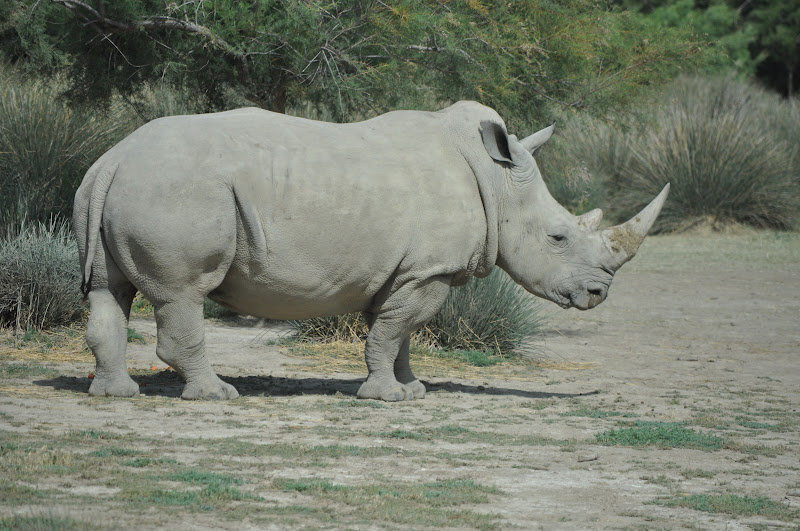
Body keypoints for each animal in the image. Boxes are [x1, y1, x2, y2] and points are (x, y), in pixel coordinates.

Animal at [73, 101, 668, 402]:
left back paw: (115, 394)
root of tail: (112, 158)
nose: (598, 292)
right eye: (558, 237)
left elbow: (398, 332)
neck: (498, 185)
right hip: (179, 192)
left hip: (117, 187)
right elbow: (393, 330)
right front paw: (388, 398)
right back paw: (217, 395)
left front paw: (413, 388)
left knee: (108, 289)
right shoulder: (429, 271)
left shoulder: (406, 271)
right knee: (183, 293)